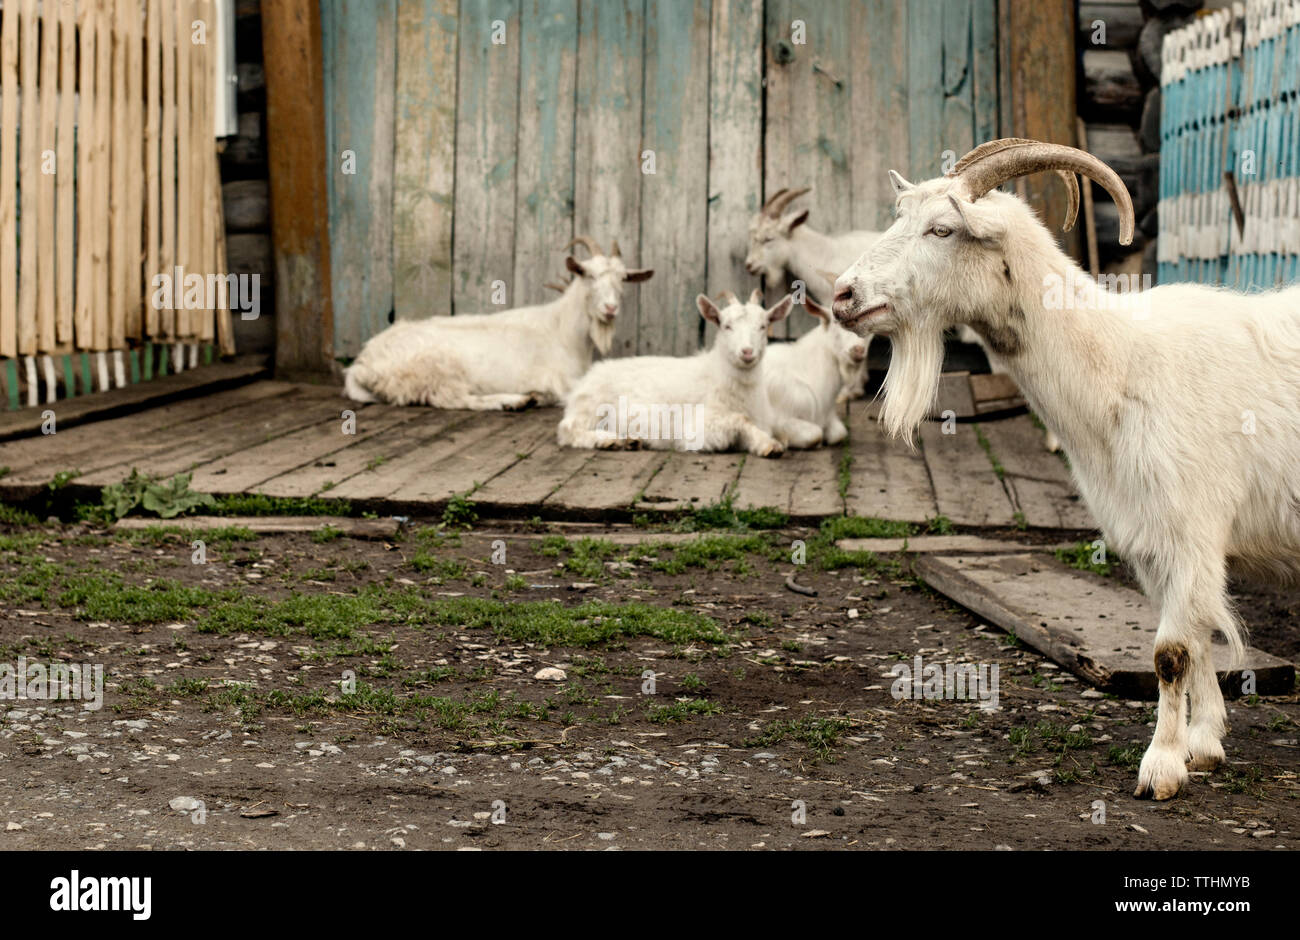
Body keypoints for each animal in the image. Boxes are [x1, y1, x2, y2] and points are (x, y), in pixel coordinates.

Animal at [342, 237, 652, 409]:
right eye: (588, 275)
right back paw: (514, 401)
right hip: (433, 371)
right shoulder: (563, 380)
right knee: (454, 399)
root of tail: (362, 363)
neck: (562, 330)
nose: (610, 308)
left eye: (623, 279)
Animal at [557, 290, 823, 455]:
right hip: (591, 406)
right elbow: (740, 421)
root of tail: (586, 379)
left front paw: (769, 442)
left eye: (763, 326)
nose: (747, 352)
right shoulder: (699, 428)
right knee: (568, 430)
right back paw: (607, 440)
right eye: (726, 325)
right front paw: (770, 445)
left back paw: (631, 439)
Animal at [831, 137, 1300, 801]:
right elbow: (1200, 638)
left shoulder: (1192, 524)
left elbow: (1172, 652)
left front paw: (1161, 767)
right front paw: (1204, 743)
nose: (843, 294)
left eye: (942, 228)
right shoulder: (1150, 538)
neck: (1120, 363)